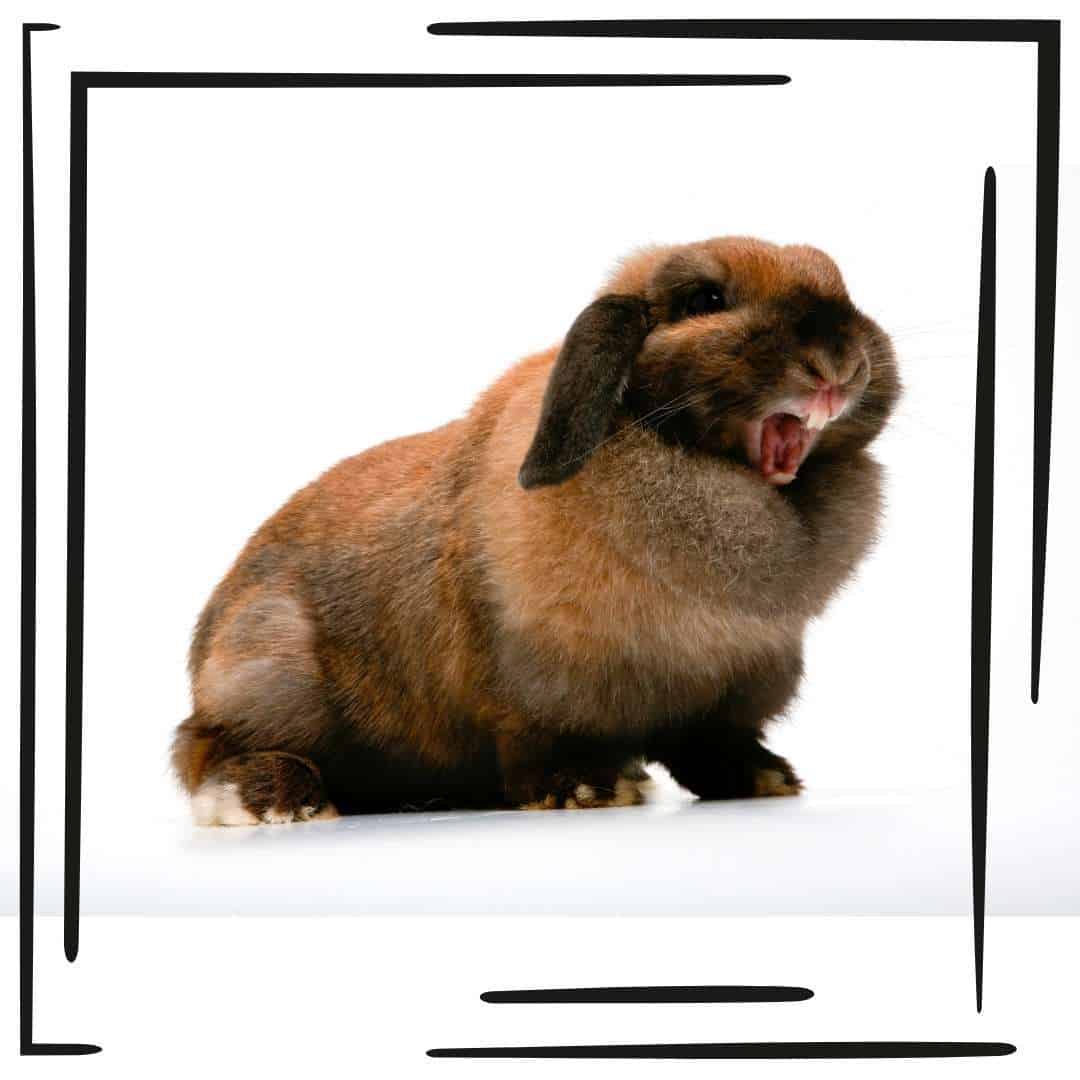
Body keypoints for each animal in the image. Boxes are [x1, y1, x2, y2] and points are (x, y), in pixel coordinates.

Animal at [171, 236, 900, 824]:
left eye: (840, 284)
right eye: (705, 298)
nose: (838, 363)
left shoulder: (730, 690)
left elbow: (712, 741)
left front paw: (761, 776)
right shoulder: (533, 688)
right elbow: (538, 741)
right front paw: (585, 788)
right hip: (270, 669)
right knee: (208, 748)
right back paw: (276, 799)